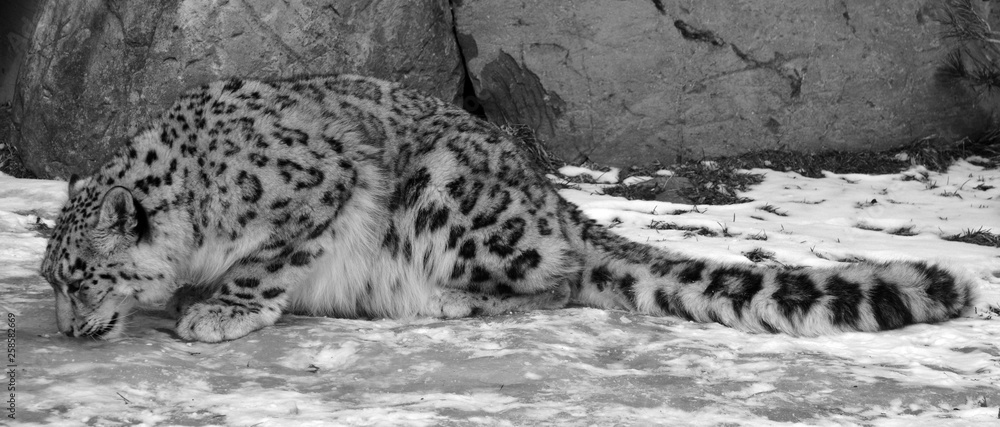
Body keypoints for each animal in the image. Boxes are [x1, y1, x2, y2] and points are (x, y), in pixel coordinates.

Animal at [39, 75, 977, 342]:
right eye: (52, 279)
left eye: (82, 278)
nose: (69, 328)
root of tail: (560, 202)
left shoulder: (325, 179)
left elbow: (271, 258)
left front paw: (217, 310)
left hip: (448, 198)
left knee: (555, 280)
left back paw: (440, 298)